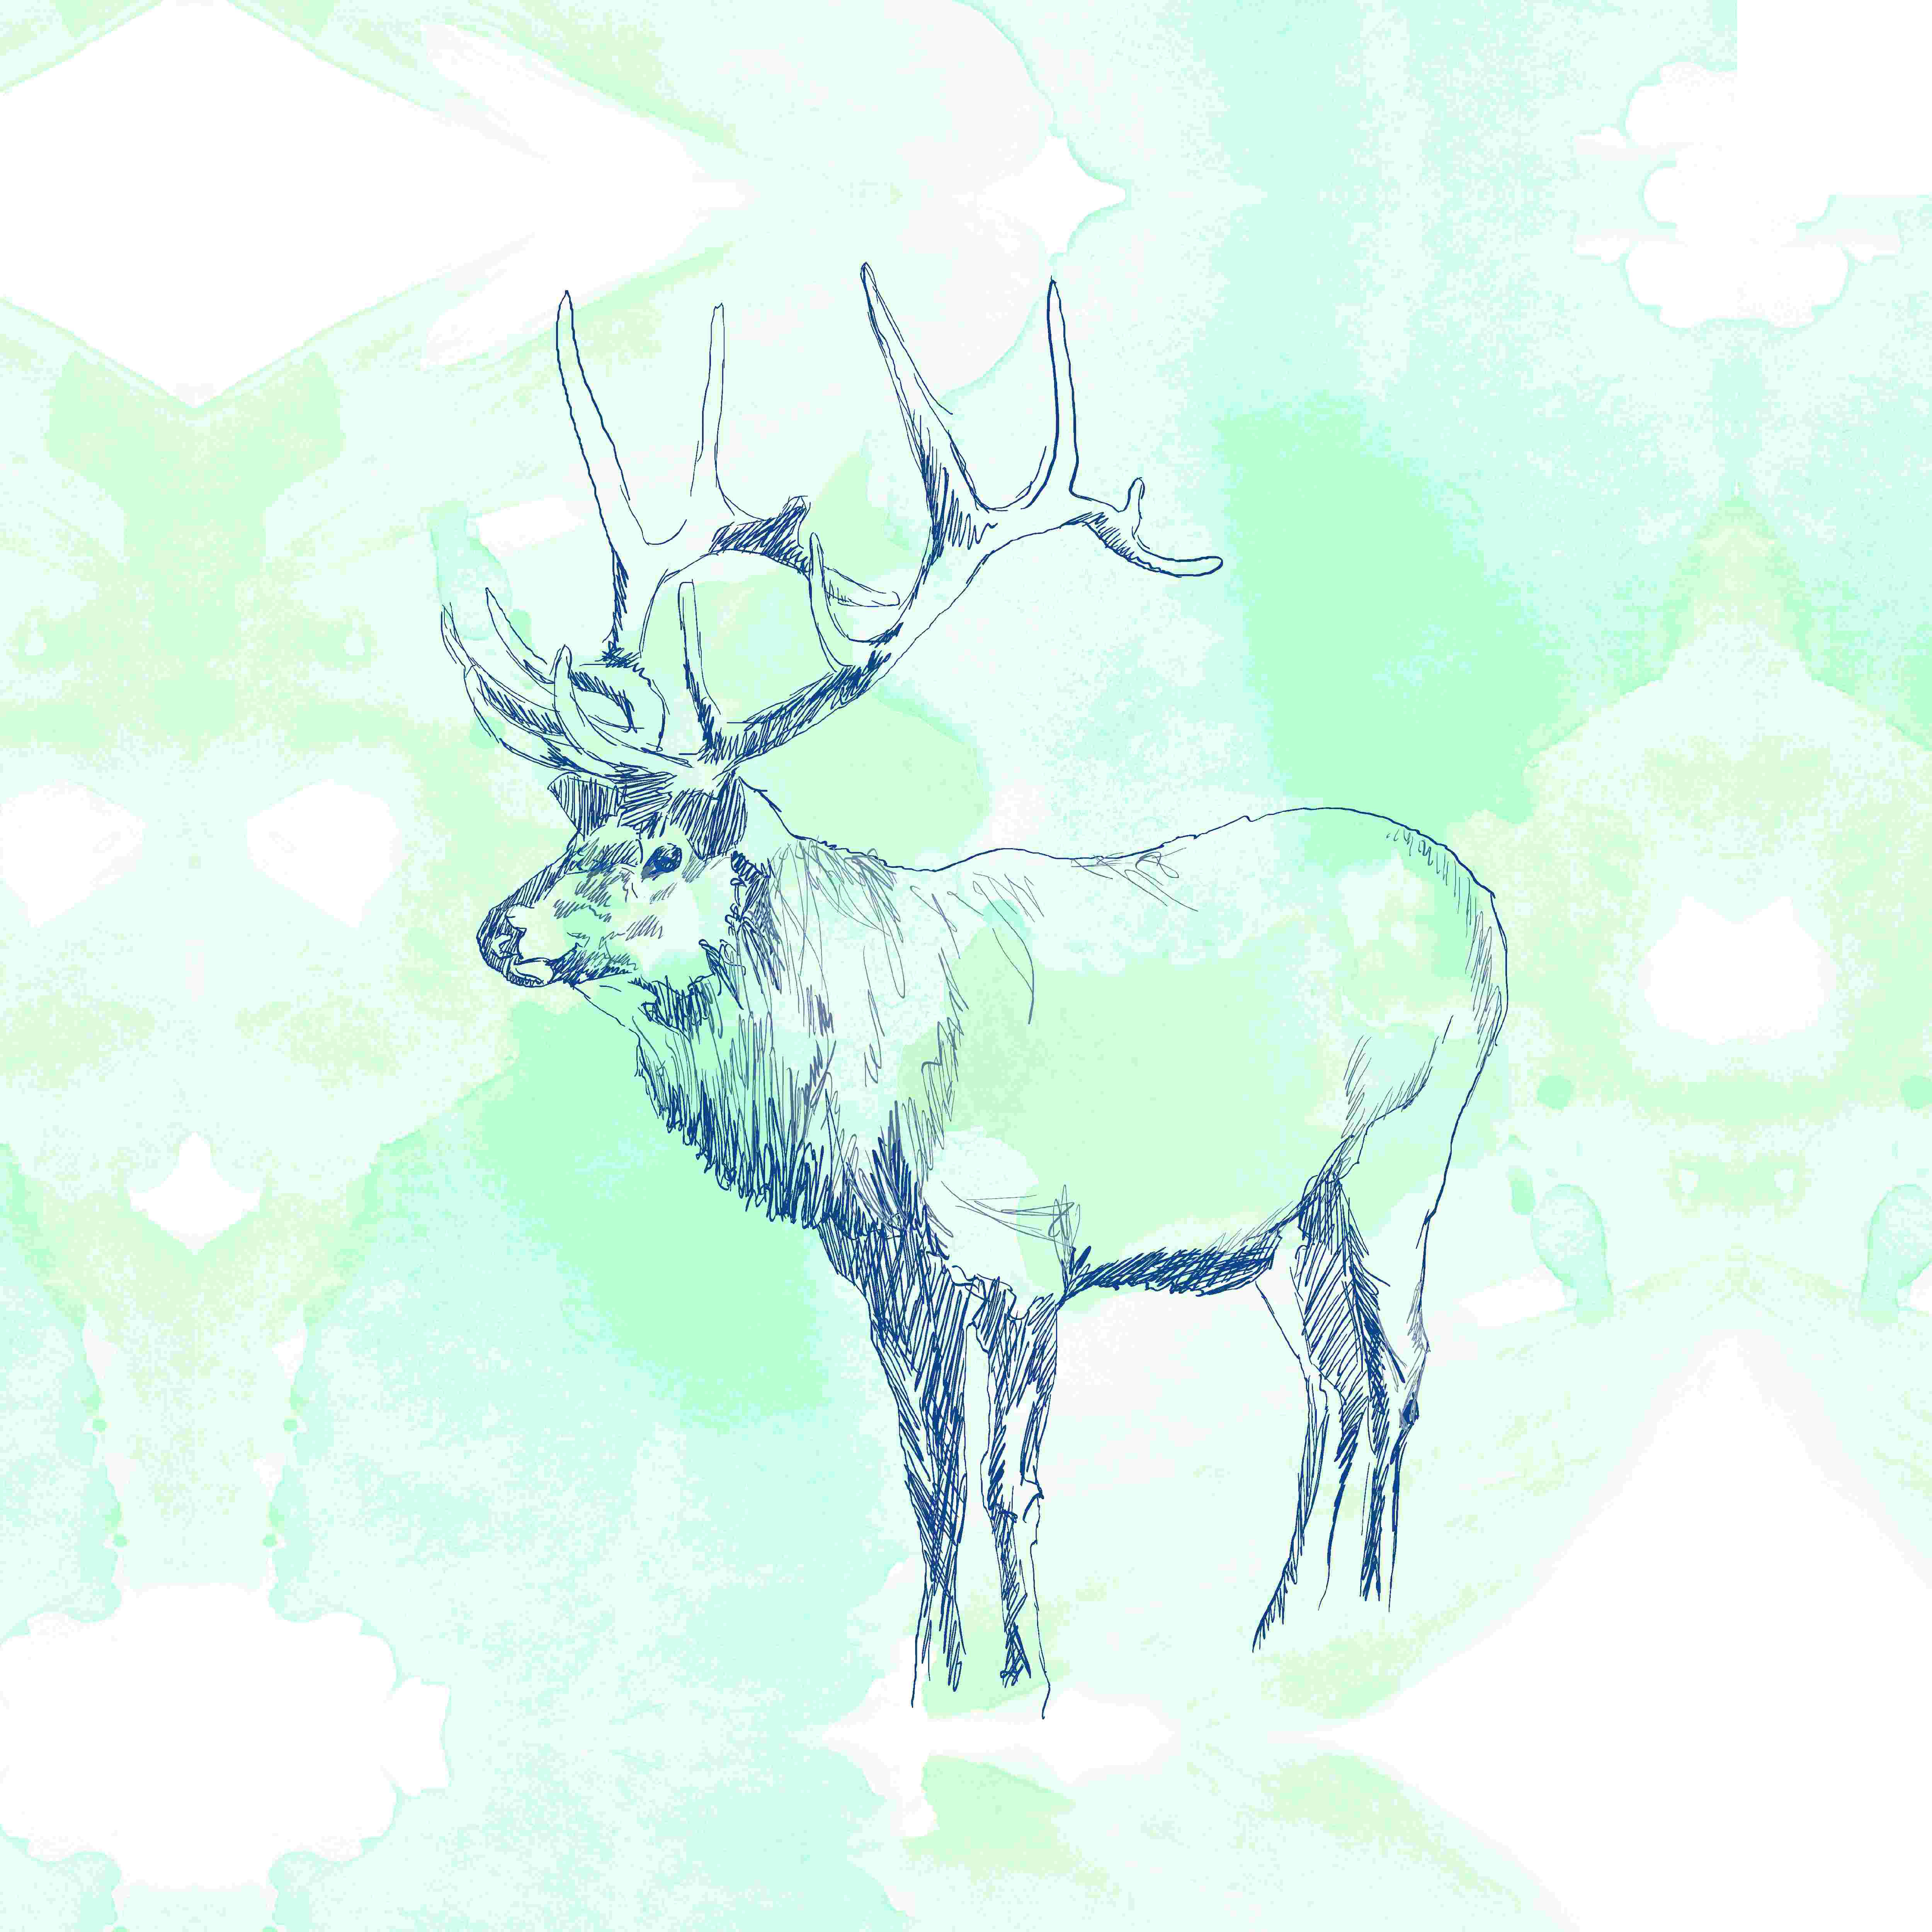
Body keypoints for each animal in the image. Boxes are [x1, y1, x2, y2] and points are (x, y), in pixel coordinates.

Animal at [440, 266, 1509, 1703]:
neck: (872, 1098)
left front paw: (1027, 1682)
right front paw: (931, 1683)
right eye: (572, 831)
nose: (502, 930)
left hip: (1405, 1142)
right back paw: (1287, 1621)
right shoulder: (890, 1274)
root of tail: (1484, 901)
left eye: (663, 846)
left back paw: (1372, 1605)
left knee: (1399, 1375)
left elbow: (1012, 1483)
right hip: (1288, 1220)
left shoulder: (1024, 1245)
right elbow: (927, 1483)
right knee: (1334, 1387)